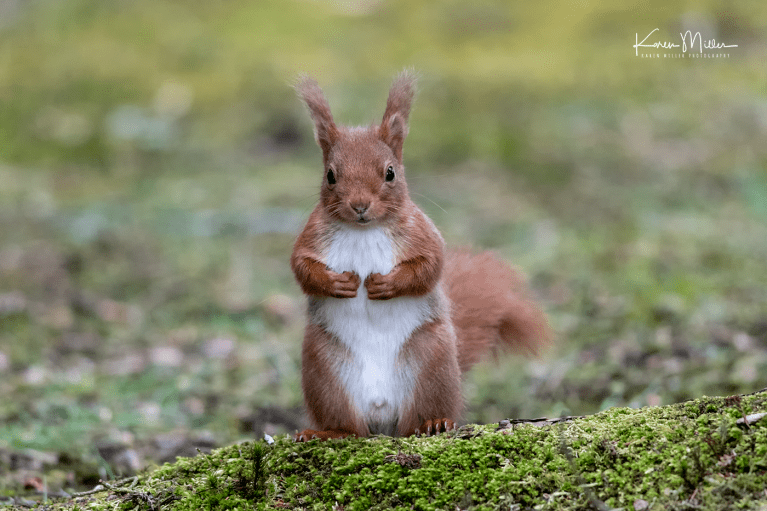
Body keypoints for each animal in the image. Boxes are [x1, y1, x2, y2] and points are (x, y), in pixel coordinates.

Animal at [290, 71, 550, 441]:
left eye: (390, 172)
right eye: (330, 175)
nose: (359, 205)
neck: (364, 230)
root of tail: (382, 418)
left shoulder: (422, 233)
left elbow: (430, 266)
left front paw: (385, 285)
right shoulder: (312, 236)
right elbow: (301, 266)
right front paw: (338, 283)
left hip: (431, 362)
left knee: (420, 416)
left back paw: (434, 423)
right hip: (324, 370)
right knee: (348, 426)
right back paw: (326, 432)